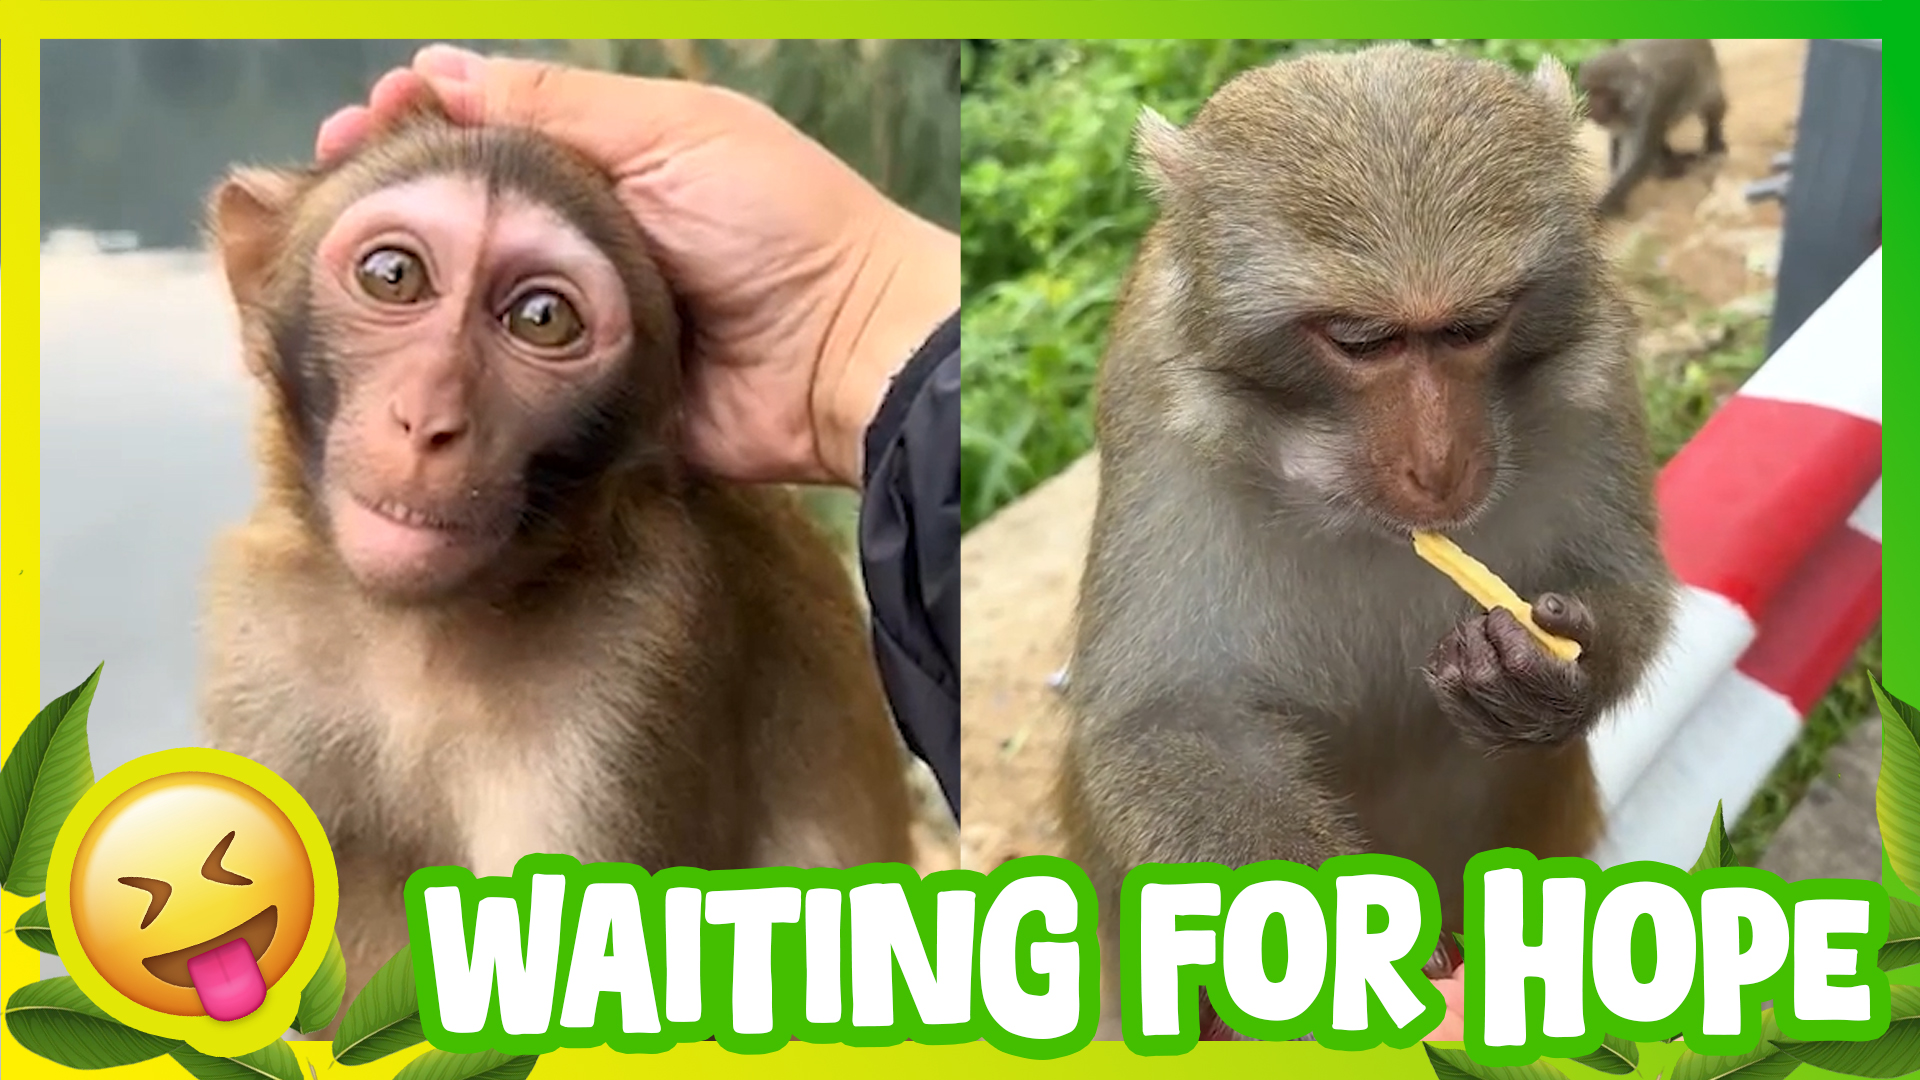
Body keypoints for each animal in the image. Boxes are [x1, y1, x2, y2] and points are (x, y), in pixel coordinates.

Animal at [197, 103, 916, 1018]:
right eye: (393, 276)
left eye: (542, 318)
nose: (429, 419)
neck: (419, 639)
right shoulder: (264, 637)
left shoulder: (635, 672)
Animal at [1056, 44, 1677, 1041]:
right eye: (1360, 341)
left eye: (1473, 326)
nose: (1438, 463)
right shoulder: (1155, 394)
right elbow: (1168, 718)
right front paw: (1336, 950)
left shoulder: (1601, 350)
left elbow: (1628, 583)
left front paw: (1540, 673)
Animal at [1577, 39, 1728, 217]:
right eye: (1590, 91)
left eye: (1603, 93)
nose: (1592, 107)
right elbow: (1618, 141)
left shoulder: (1649, 103)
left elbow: (1639, 158)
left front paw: (1604, 206)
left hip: (1707, 75)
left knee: (1712, 105)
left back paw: (1712, 141)